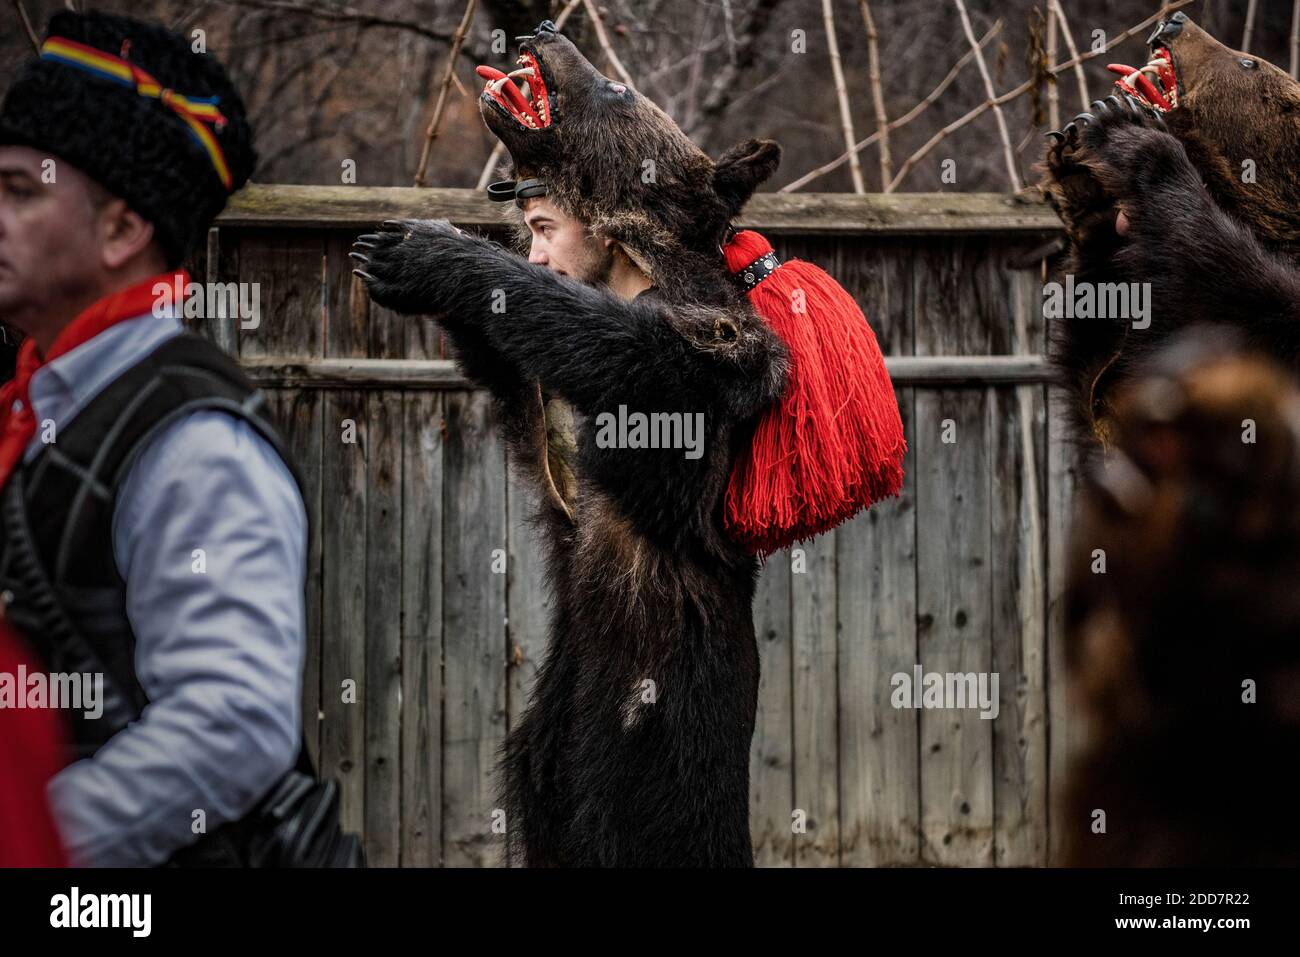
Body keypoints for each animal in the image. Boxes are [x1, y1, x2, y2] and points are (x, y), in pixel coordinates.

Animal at [352, 21, 790, 866]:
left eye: (619, 86)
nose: (544, 28)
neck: (630, 264)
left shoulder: (704, 347)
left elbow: (635, 354)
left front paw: (426, 250)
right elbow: (520, 393)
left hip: (652, 718)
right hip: (553, 722)